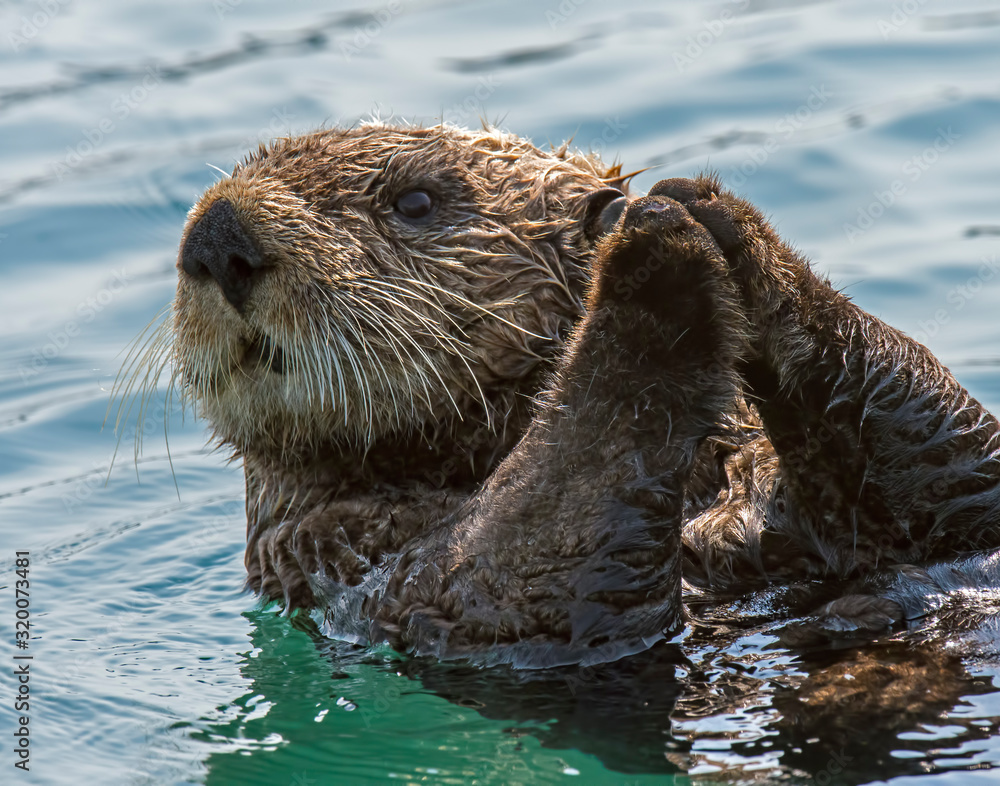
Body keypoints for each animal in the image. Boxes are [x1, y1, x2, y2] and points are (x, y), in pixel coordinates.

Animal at [130, 121, 1000, 667]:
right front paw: (652, 258)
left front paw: (712, 215)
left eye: (415, 200)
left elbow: (955, 464)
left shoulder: (942, 495)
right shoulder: (346, 563)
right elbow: (512, 566)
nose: (217, 236)